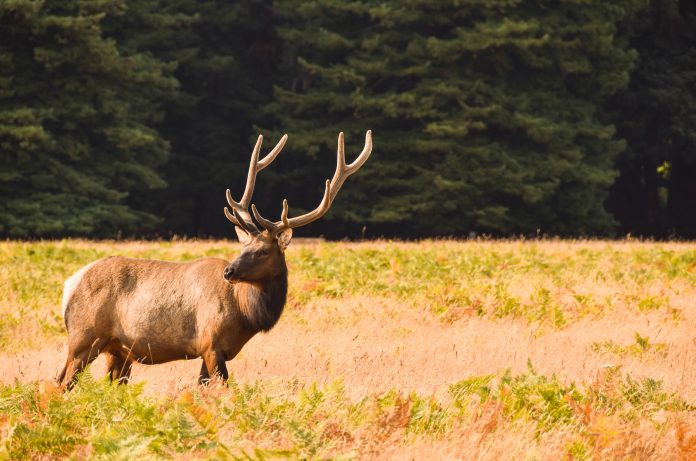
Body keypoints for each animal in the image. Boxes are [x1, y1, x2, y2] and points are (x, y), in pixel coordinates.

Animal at [57, 131, 372, 388]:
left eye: (262, 250)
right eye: (244, 247)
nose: (229, 272)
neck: (245, 313)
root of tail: (69, 284)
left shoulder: (214, 351)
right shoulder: (211, 344)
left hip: (118, 350)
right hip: (84, 337)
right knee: (61, 381)